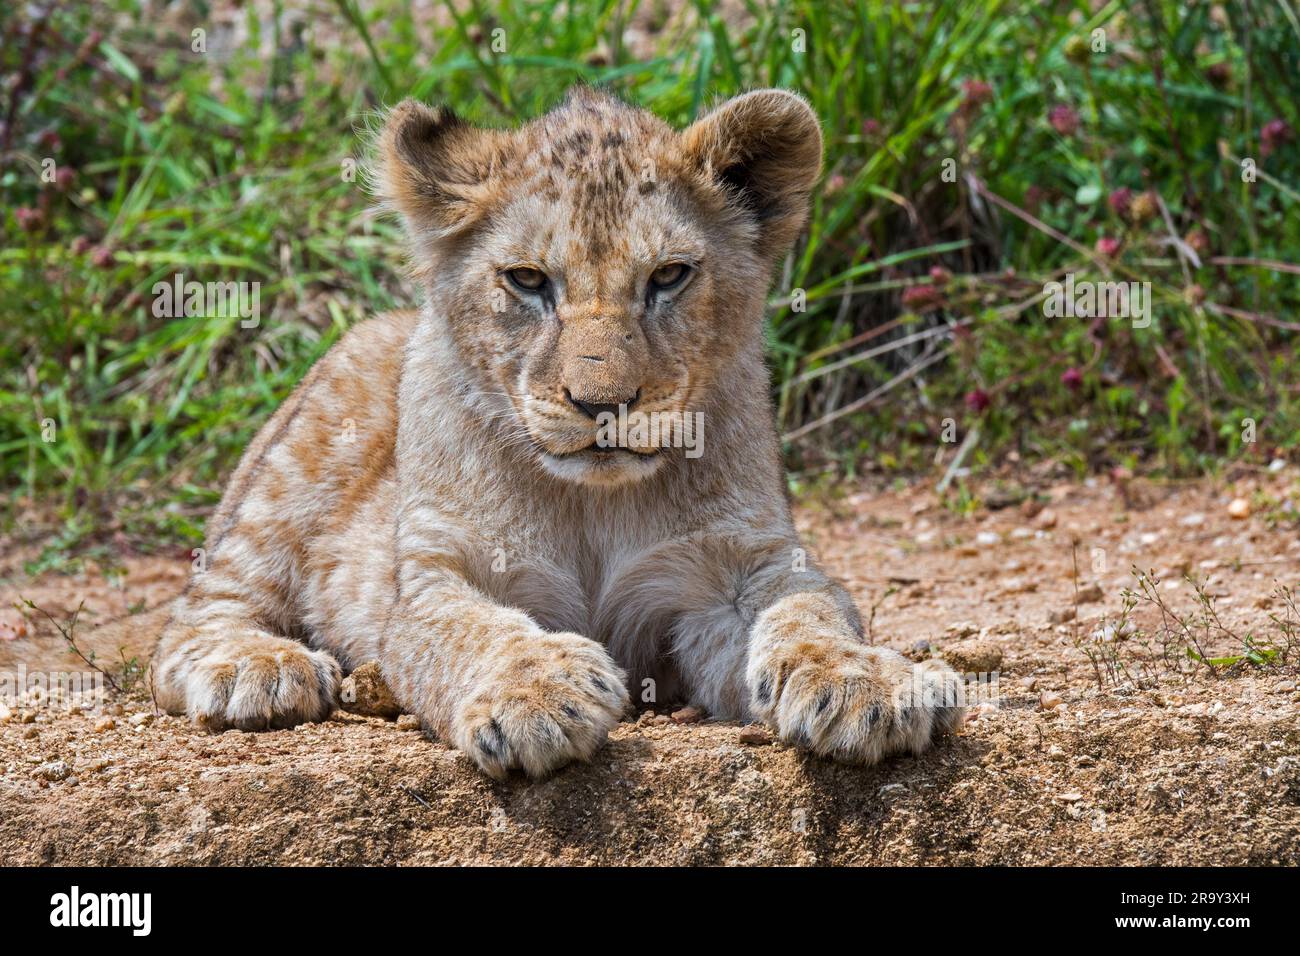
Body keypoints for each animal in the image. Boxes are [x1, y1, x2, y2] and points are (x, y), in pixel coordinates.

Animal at [146, 87, 964, 778]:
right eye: (528, 280)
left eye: (669, 276)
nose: (602, 402)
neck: (592, 504)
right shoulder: (440, 577)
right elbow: (476, 631)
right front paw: (536, 695)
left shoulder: (738, 565)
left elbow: (810, 608)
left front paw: (863, 681)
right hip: (294, 469)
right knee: (192, 619)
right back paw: (259, 669)